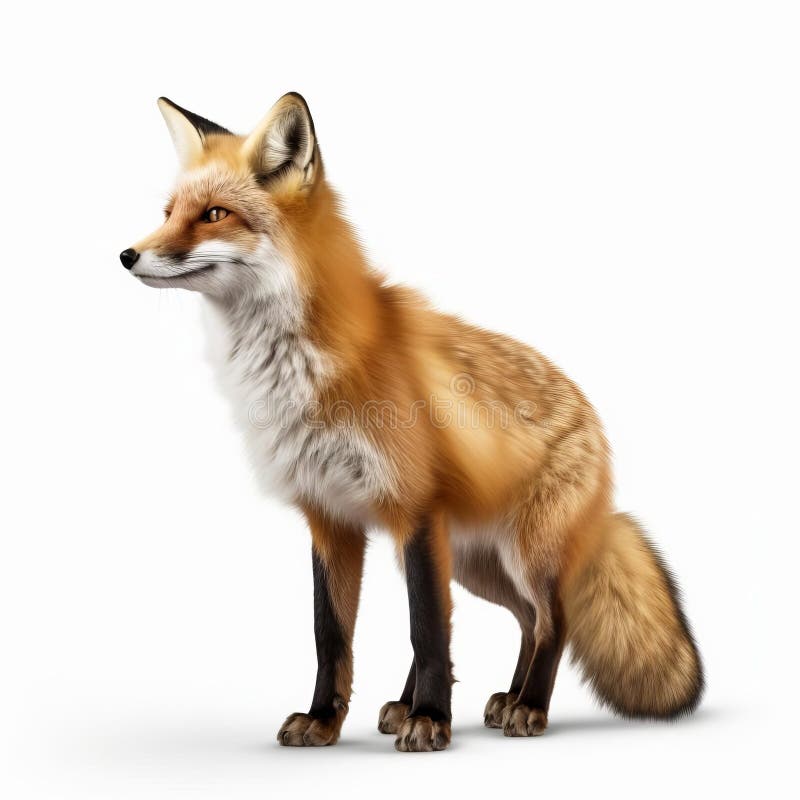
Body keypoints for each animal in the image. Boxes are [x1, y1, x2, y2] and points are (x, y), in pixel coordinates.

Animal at [121, 92, 703, 752]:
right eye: (169, 212)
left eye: (214, 214)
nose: (127, 254)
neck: (298, 371)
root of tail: (595, 422)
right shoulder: (332, 518)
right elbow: (332, 636)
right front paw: (324, 720)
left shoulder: (416, 506)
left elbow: (425, 631)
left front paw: (431, 720)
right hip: (477, 564)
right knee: (527, 620)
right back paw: (490, 700)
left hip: (519, 554)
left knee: (554, 620)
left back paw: (527, 707)